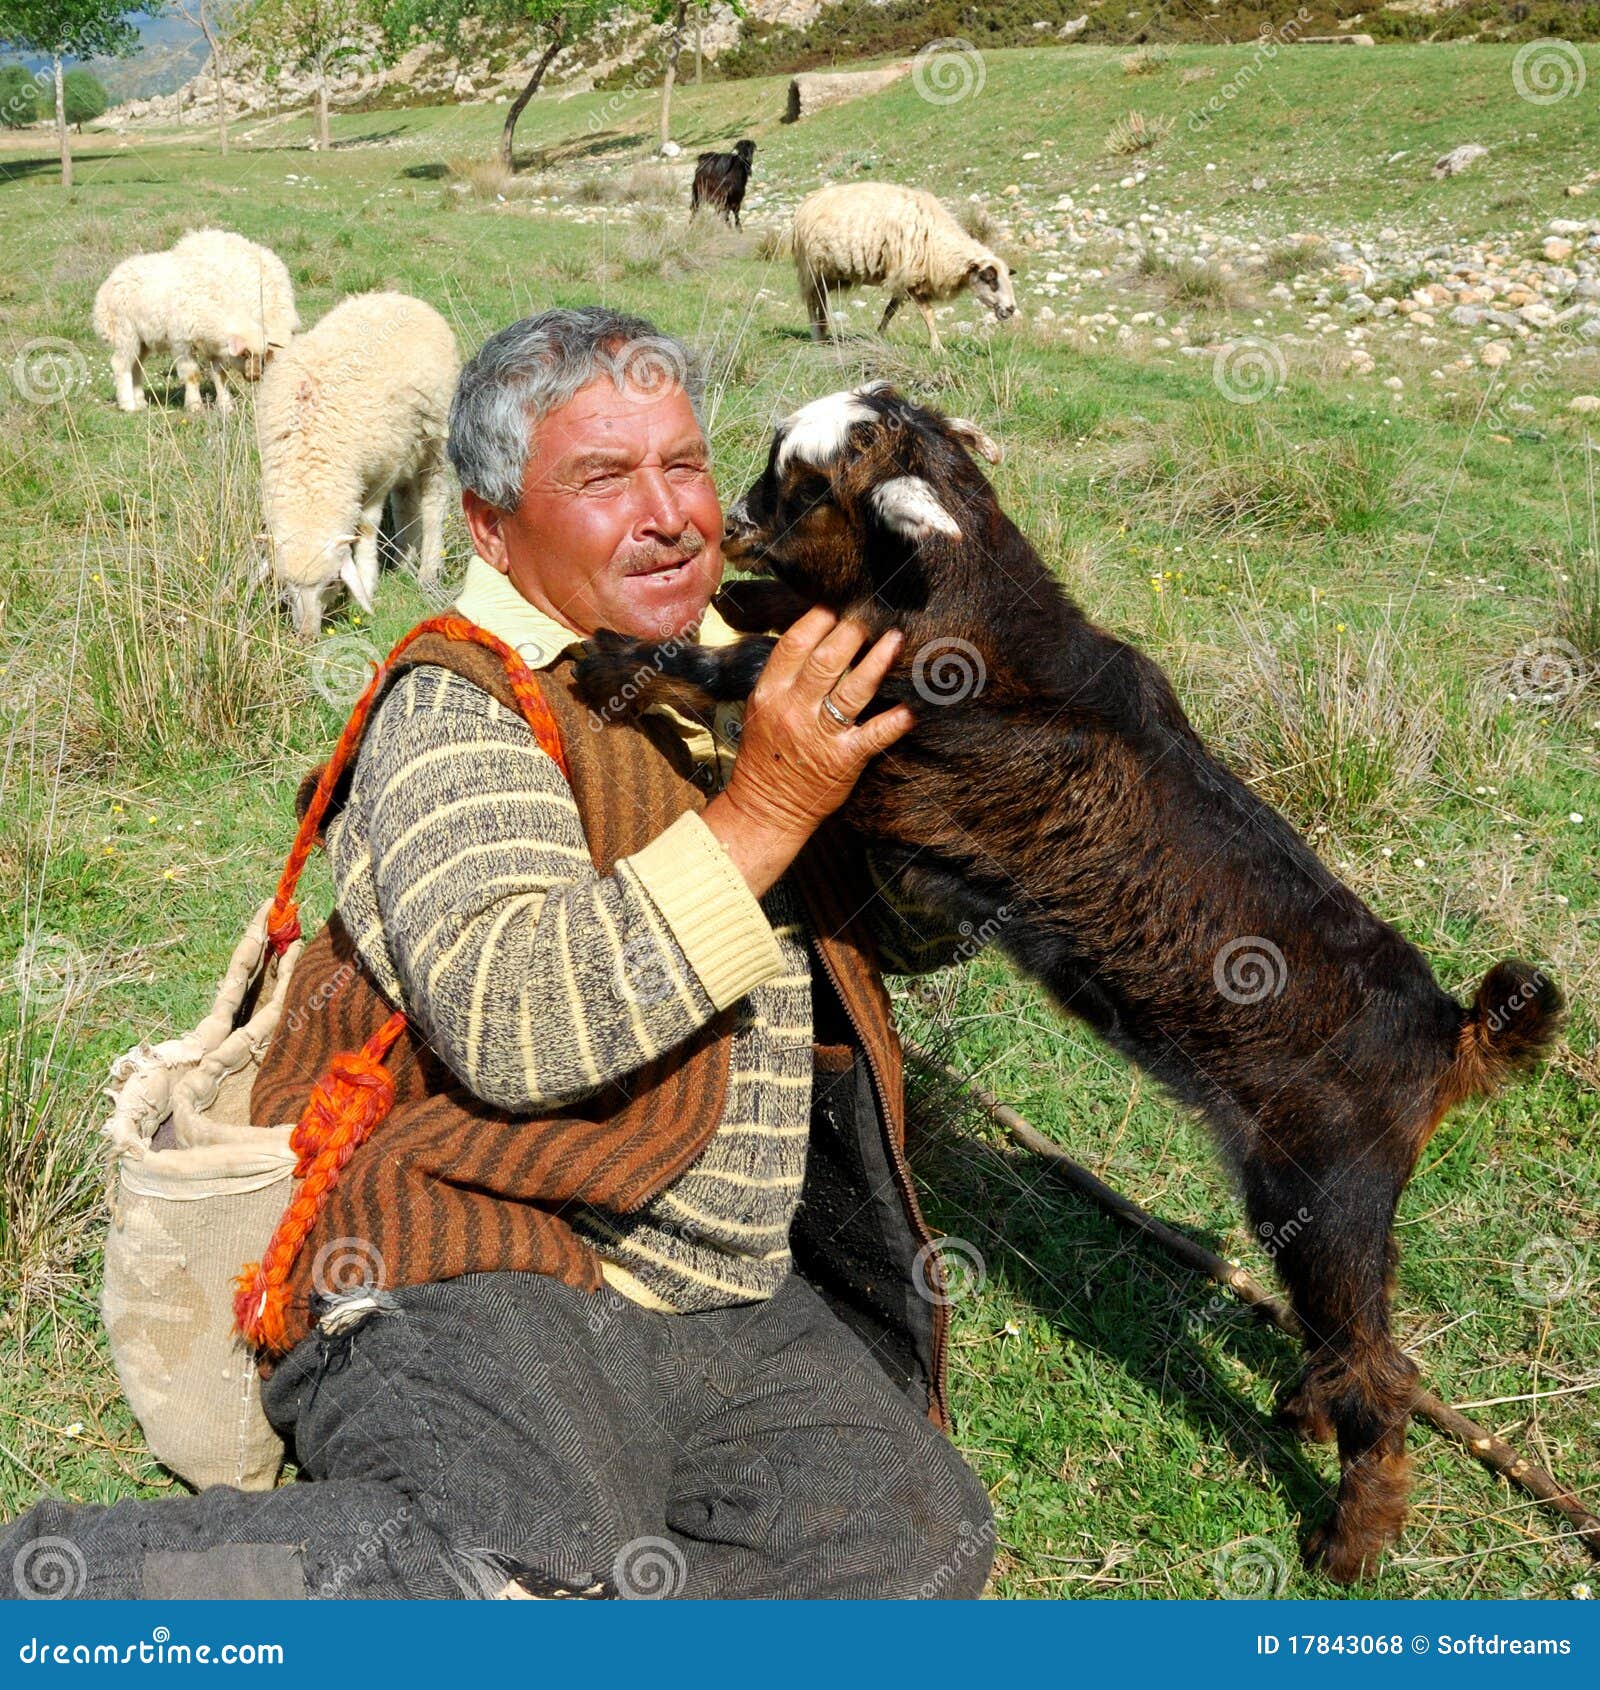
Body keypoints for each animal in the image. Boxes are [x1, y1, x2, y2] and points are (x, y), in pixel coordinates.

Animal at [256, 291, 459, 640]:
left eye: (330, 583)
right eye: (288, 585)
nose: (306, 637)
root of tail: (397, 296)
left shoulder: (377, 474)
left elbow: (365, 527)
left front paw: (365, 581)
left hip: (434, 437)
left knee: (433, 503)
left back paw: (427, 573)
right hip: (405, 446)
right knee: (406, 502)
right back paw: (404, 561)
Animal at [575, 382, 1562, 1586]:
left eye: (803, 488)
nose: (731, 527)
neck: (978, 620)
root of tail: (1445, 1030)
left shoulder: (882, 759)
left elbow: (747, 662)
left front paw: (610, 658)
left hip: (1325, 1195)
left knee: (1385, 1375)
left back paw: (1349, 1538)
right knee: (1365, 1346)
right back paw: (1310, 1412)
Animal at [791, 182, 1017, 352]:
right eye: (989, 278)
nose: (1011, 309)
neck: (939, 243)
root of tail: (806, 206)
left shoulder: (903, 278)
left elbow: (889, 311)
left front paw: (878, 336)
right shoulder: (910, 276)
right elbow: (929, 315)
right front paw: (937, 348)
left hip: (827, 274)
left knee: (821, 301)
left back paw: (823, 332)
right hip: (813, 267)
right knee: (812, 302)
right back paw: (816, 336)